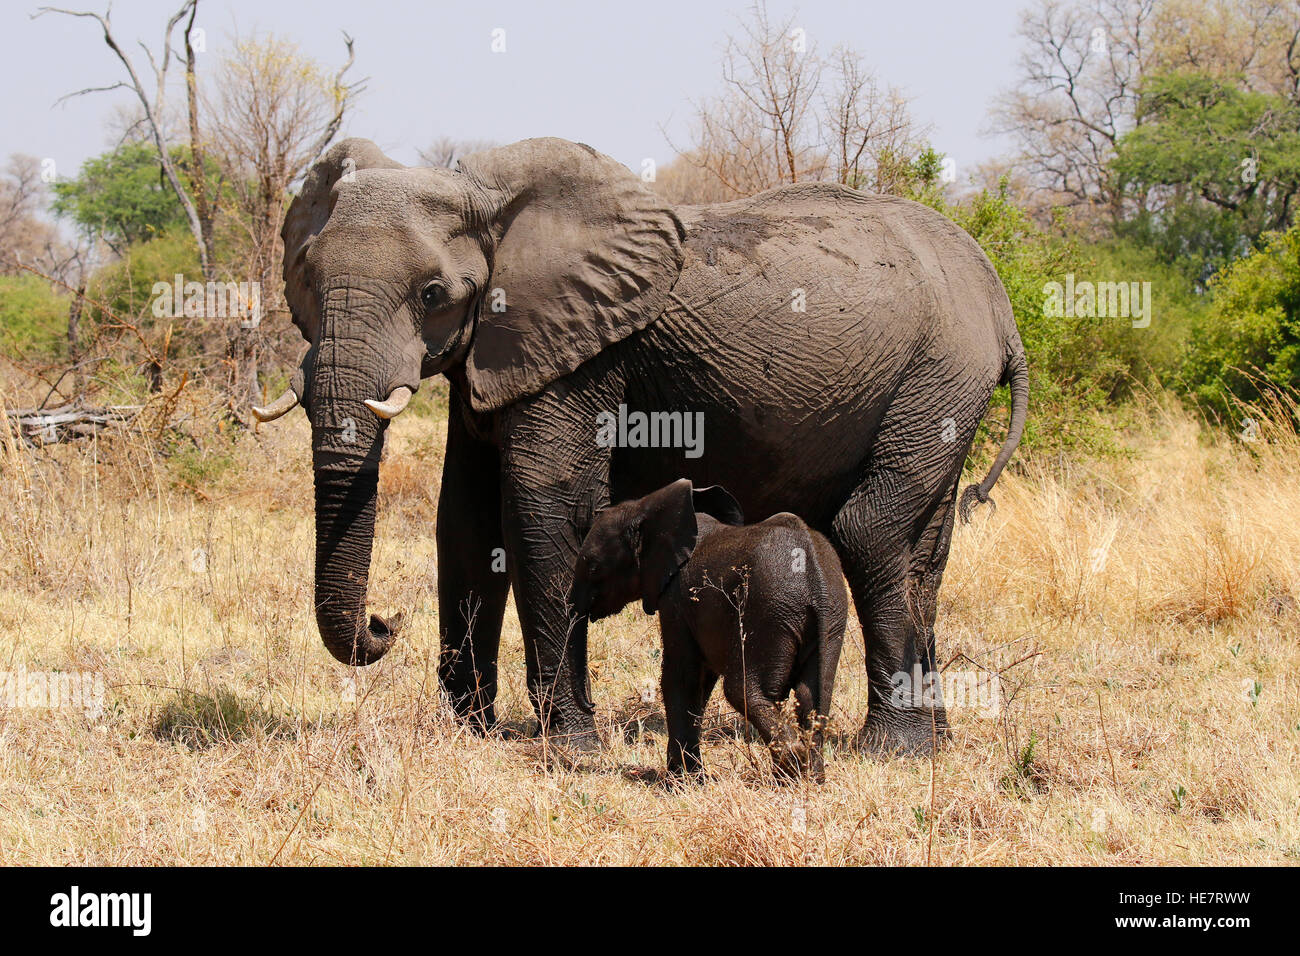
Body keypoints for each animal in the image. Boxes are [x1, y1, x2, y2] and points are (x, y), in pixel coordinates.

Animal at [568, 479, 847, 782]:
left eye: (593, 566)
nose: (592, 705)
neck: (646, 508)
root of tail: (814, 577)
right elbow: (702, 680)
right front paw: (688, 775)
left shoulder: (676, 597)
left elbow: (681, 675)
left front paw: (681, 781)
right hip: (831, 616)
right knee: (813, 695)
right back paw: (811, 777)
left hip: (767, 610)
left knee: (743, 689)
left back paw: (791, 768)